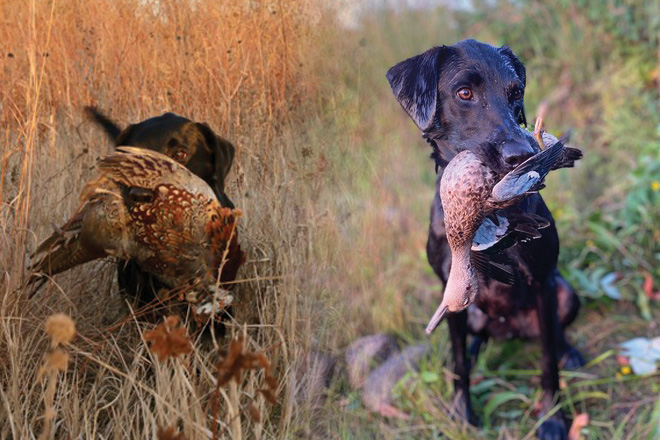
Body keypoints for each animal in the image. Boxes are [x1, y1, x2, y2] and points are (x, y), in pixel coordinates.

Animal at [386, 39, 584, 438]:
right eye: (464, 93)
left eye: (516, 92)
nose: (523, 156)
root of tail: (509, 330)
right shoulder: (448, 288)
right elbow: (460, 366)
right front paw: (462, 414)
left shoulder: (542, 283)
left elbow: (547, 362)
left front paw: (553, 418)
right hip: (472, 313)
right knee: (471, 339)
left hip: (564, 293)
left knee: (555, 335)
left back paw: (568, 351)